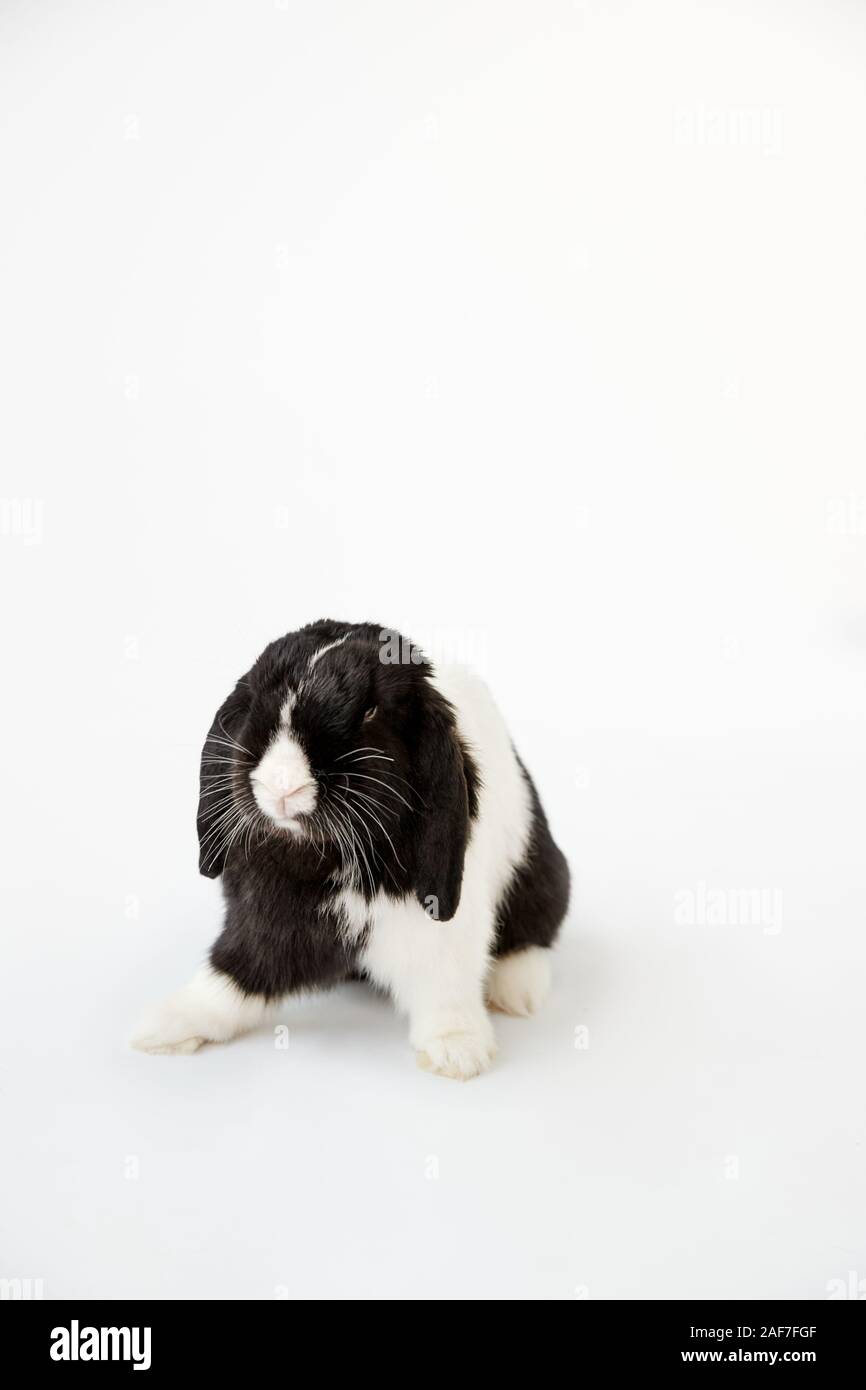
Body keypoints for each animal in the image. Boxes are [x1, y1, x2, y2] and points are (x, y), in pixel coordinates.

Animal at [131, 620, 570, 1079]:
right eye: (256, 702)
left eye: (371, 712)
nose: (282, 785)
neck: (333, 856)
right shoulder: (261, 924)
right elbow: (230, 978)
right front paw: (161, 1028)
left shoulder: (444, 928)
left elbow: (446, 987)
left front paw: (457, 1052)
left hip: (542, 873)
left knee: (532, 930)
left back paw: (517, 992)